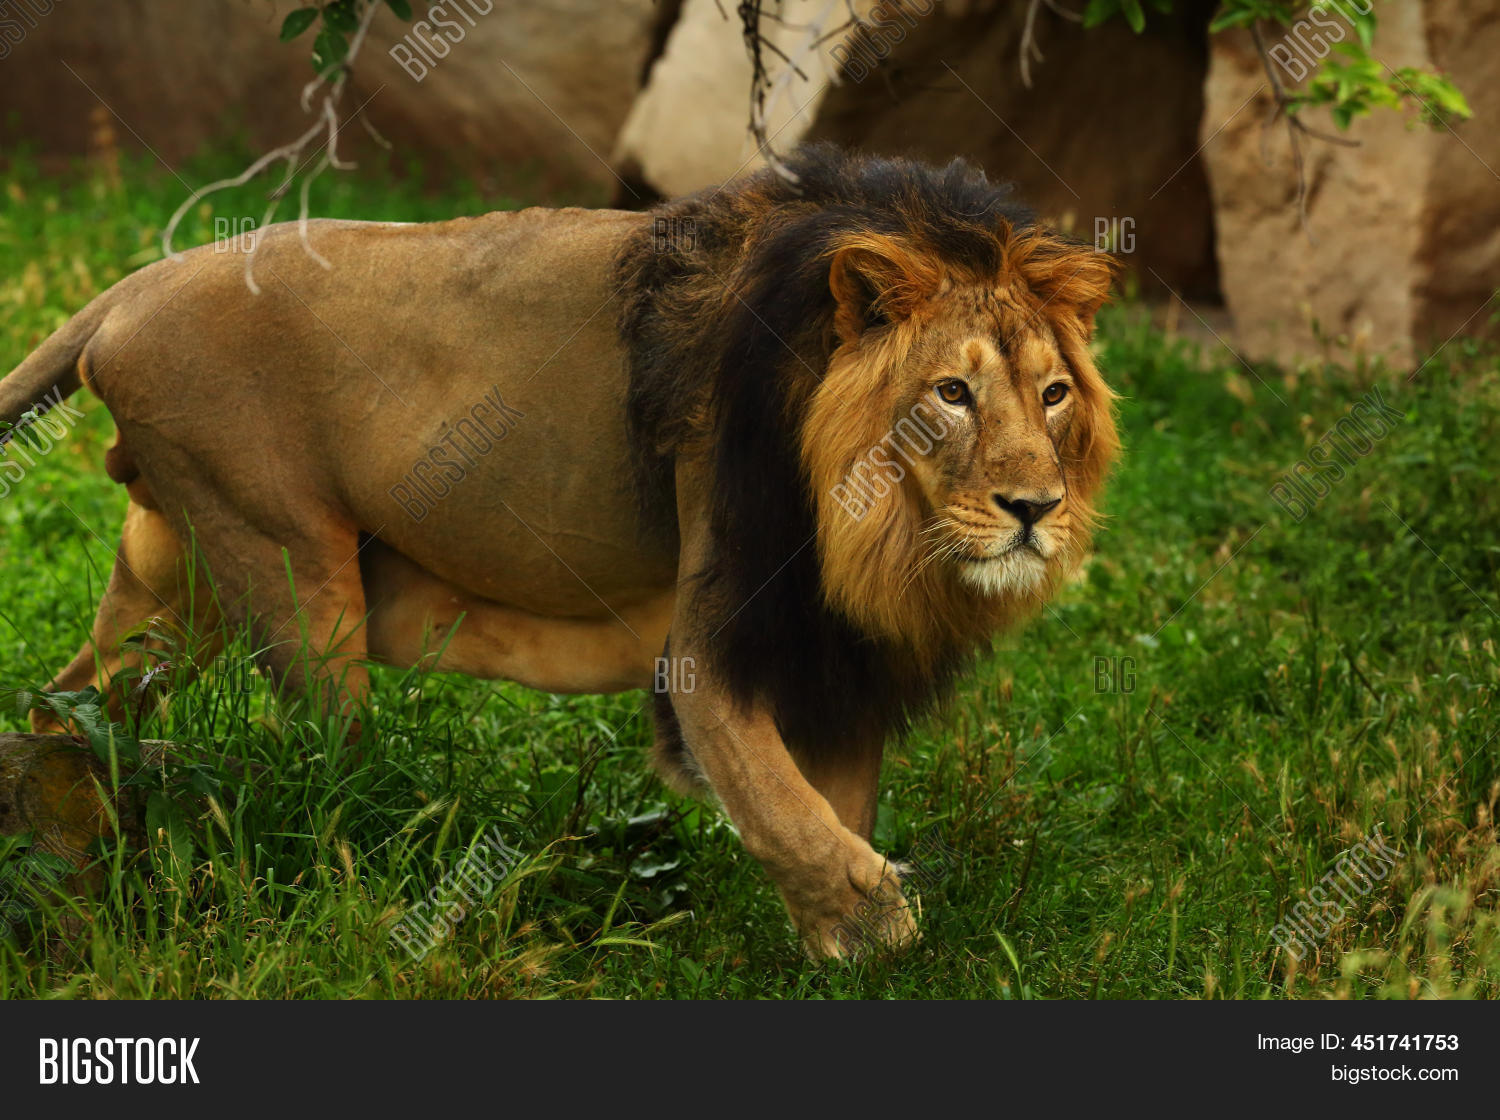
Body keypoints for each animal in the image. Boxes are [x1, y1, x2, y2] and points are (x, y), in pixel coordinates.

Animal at [0, 144, 1118, 958]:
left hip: (173, 578)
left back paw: (59, 848)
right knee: (328, 775)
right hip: (290, 571)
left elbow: (833, 804)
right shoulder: (714, 630)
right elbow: (783, 808)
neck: (876, 534)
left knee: (66, 703)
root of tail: (134, 285)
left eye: (1053, 393)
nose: (1035, 507)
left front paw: (843, 951)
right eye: (952, 393)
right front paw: (881, 917)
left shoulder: (833, 650)